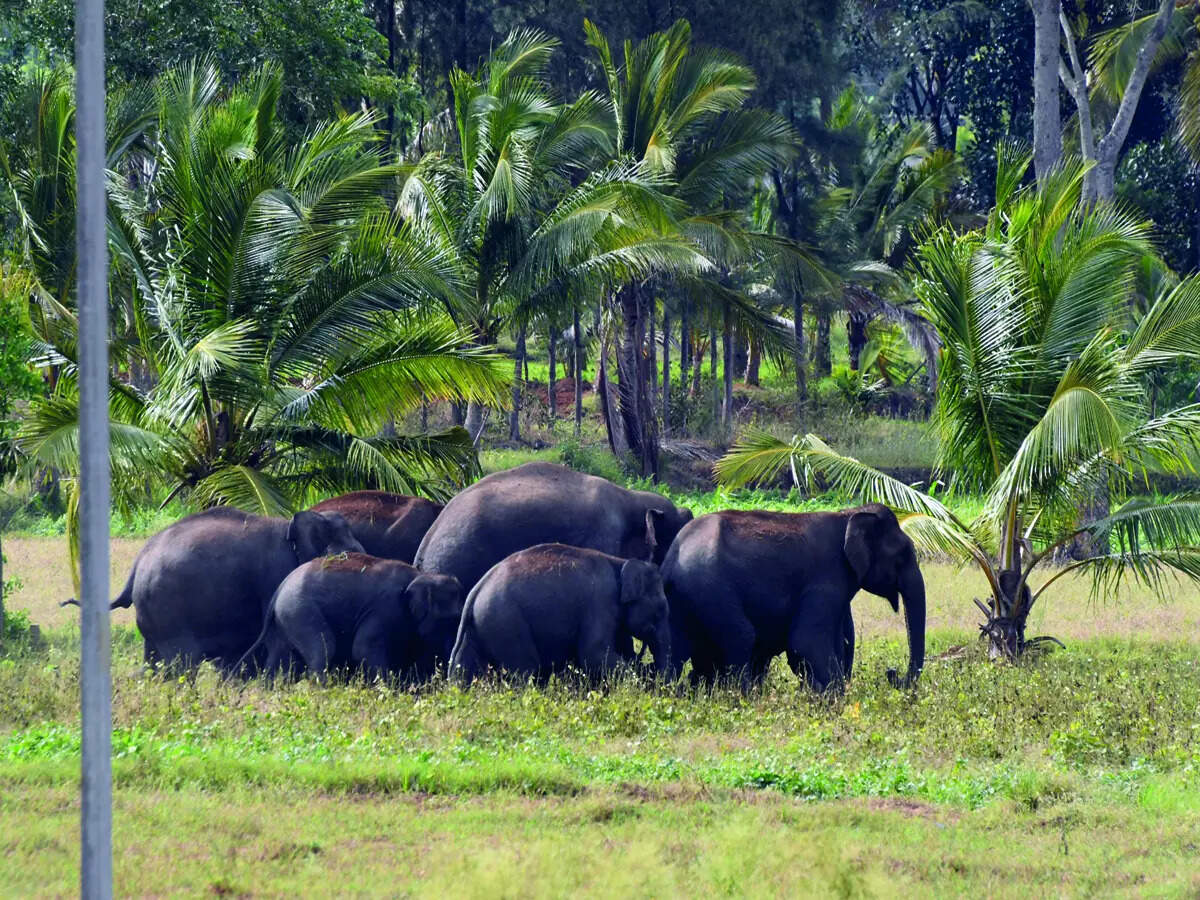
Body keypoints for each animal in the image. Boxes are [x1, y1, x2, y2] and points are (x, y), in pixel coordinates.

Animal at [105, 507, 363, 671]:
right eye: (349, 554)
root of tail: (138, 563)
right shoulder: (274, 575)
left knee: (152, 664)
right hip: (168, 611)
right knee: (182, 664)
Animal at [238, 552, 464, 683]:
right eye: (452, 619)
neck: (420, 576)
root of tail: (280, 588)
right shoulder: (385, 608)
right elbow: (363, 648)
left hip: (285, 618)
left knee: (280, 661)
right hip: (299, 610)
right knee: (323, 649)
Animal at [449, 543, 671, 685]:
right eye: (661, 608)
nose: (660, 685)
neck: (619, 562)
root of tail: (475, 592)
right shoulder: (600, 603)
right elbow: (593, 653)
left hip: (477, 627)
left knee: (463, 668)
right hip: (505, 623)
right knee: (526, 669)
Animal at [660, 504, 926, 692]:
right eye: (903, 555)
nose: (892, 672)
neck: (848, 514)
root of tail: (671, 559)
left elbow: (835, 642)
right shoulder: (825, 579)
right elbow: (806, 641)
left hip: (682, 600)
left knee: (677, 651)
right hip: (712, 590)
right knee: (741, 637)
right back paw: (742, 698)